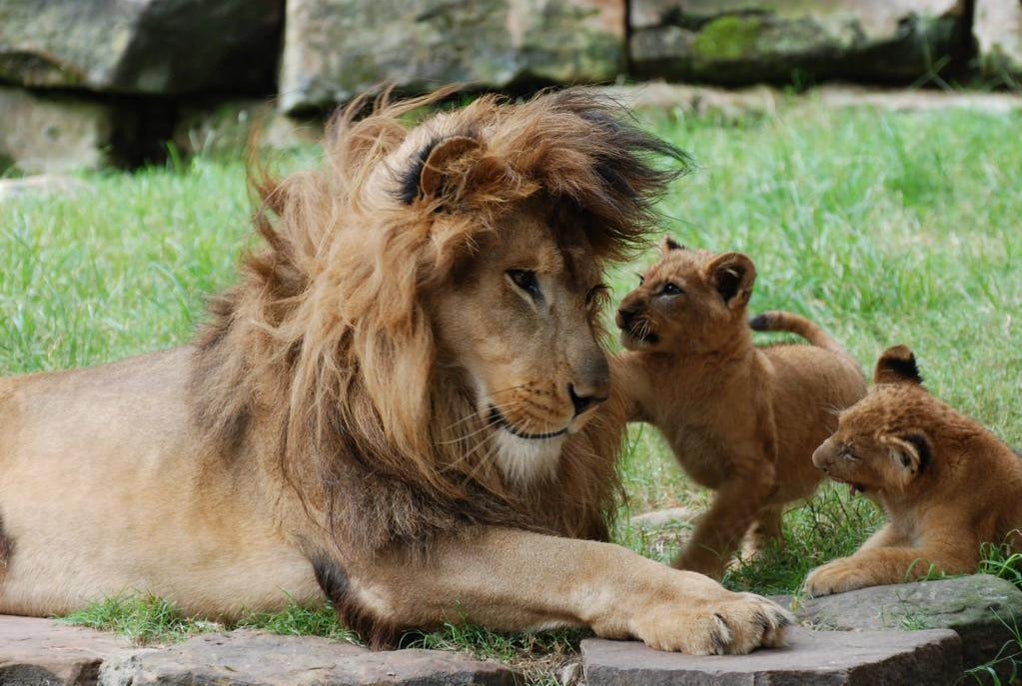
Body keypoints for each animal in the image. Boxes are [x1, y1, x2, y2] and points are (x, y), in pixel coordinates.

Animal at [0, 88, 791, 655]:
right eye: (522, 279)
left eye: (591, 291)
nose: (595, 399)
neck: (435, 406)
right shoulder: (384, 555)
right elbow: (581, 562)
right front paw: (717, 606)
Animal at [615, 241, 867, 579]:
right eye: (642, 280)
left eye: (671, 289)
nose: (622, 312)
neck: (685, 365)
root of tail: (839, 356)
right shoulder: (639, 388)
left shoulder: (752, 470)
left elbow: (714, 530)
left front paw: (688, 573)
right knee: (767, 518)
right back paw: (764, 559)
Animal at [804, 344, 1022, 596]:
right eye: (839, 425)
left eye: (852, 453)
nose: (814, 460)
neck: (913, 500)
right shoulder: (899, 528)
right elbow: (871, 546)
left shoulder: (959, 558)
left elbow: (890, 558)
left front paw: (832, 572)